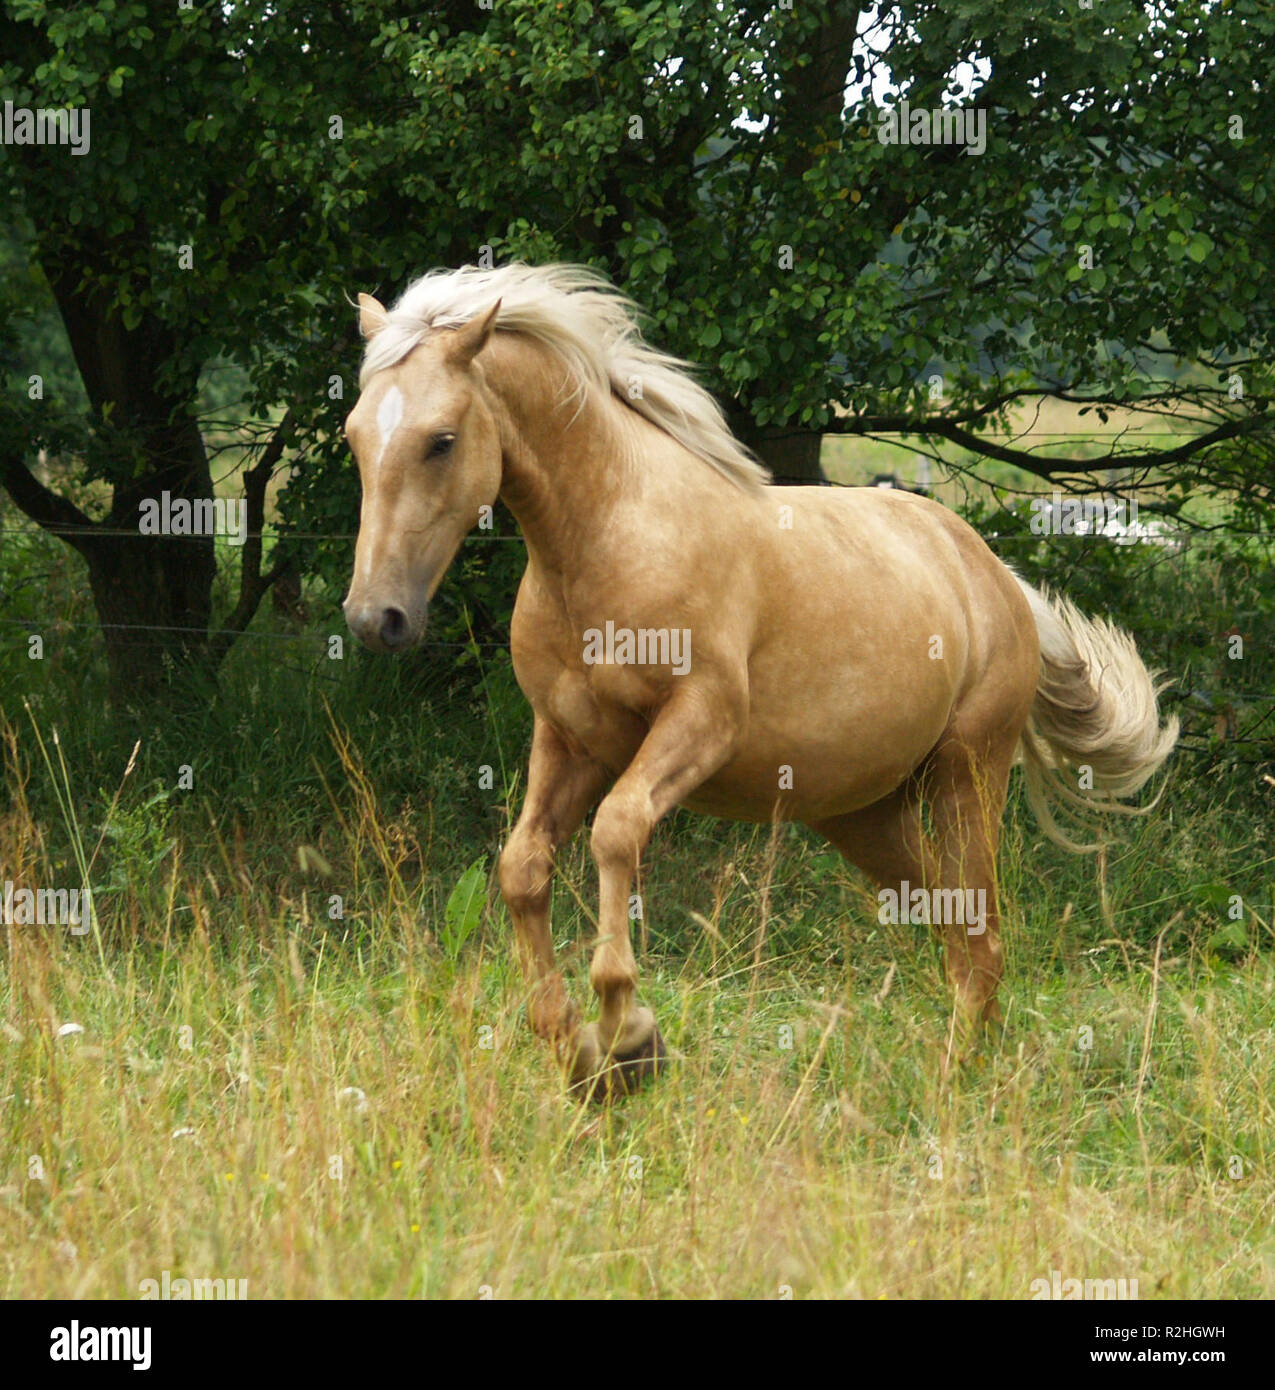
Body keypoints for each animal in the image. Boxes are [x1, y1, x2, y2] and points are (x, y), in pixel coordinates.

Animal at [342, 262, 1178, 1095]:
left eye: (441, 441)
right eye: (353, 435)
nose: (375, 617)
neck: (610, 538)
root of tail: (991, 572)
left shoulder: (699, 723)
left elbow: (615, 831)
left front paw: (625, 1035)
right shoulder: (570, 739)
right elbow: (521, 866)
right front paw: (572, 1046)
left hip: (968, 772)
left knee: (978, 926)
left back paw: (960, 1080)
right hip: (864, 815)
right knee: (951, 919)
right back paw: (975, 1059)